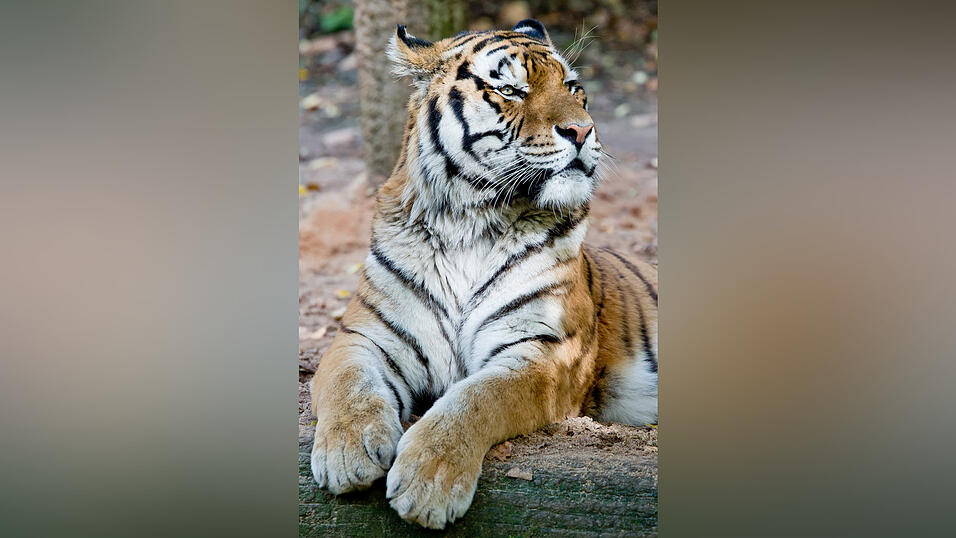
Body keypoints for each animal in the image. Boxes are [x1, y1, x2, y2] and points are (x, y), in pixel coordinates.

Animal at [309, 19, 658, 529]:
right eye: (511, 90)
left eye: (574, 88)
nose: (583, 129)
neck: (470, 222)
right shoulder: (364, 335)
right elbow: (348, 384)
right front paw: (347, 454)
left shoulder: (544, 353)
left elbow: (475, 399)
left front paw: (429, 481)